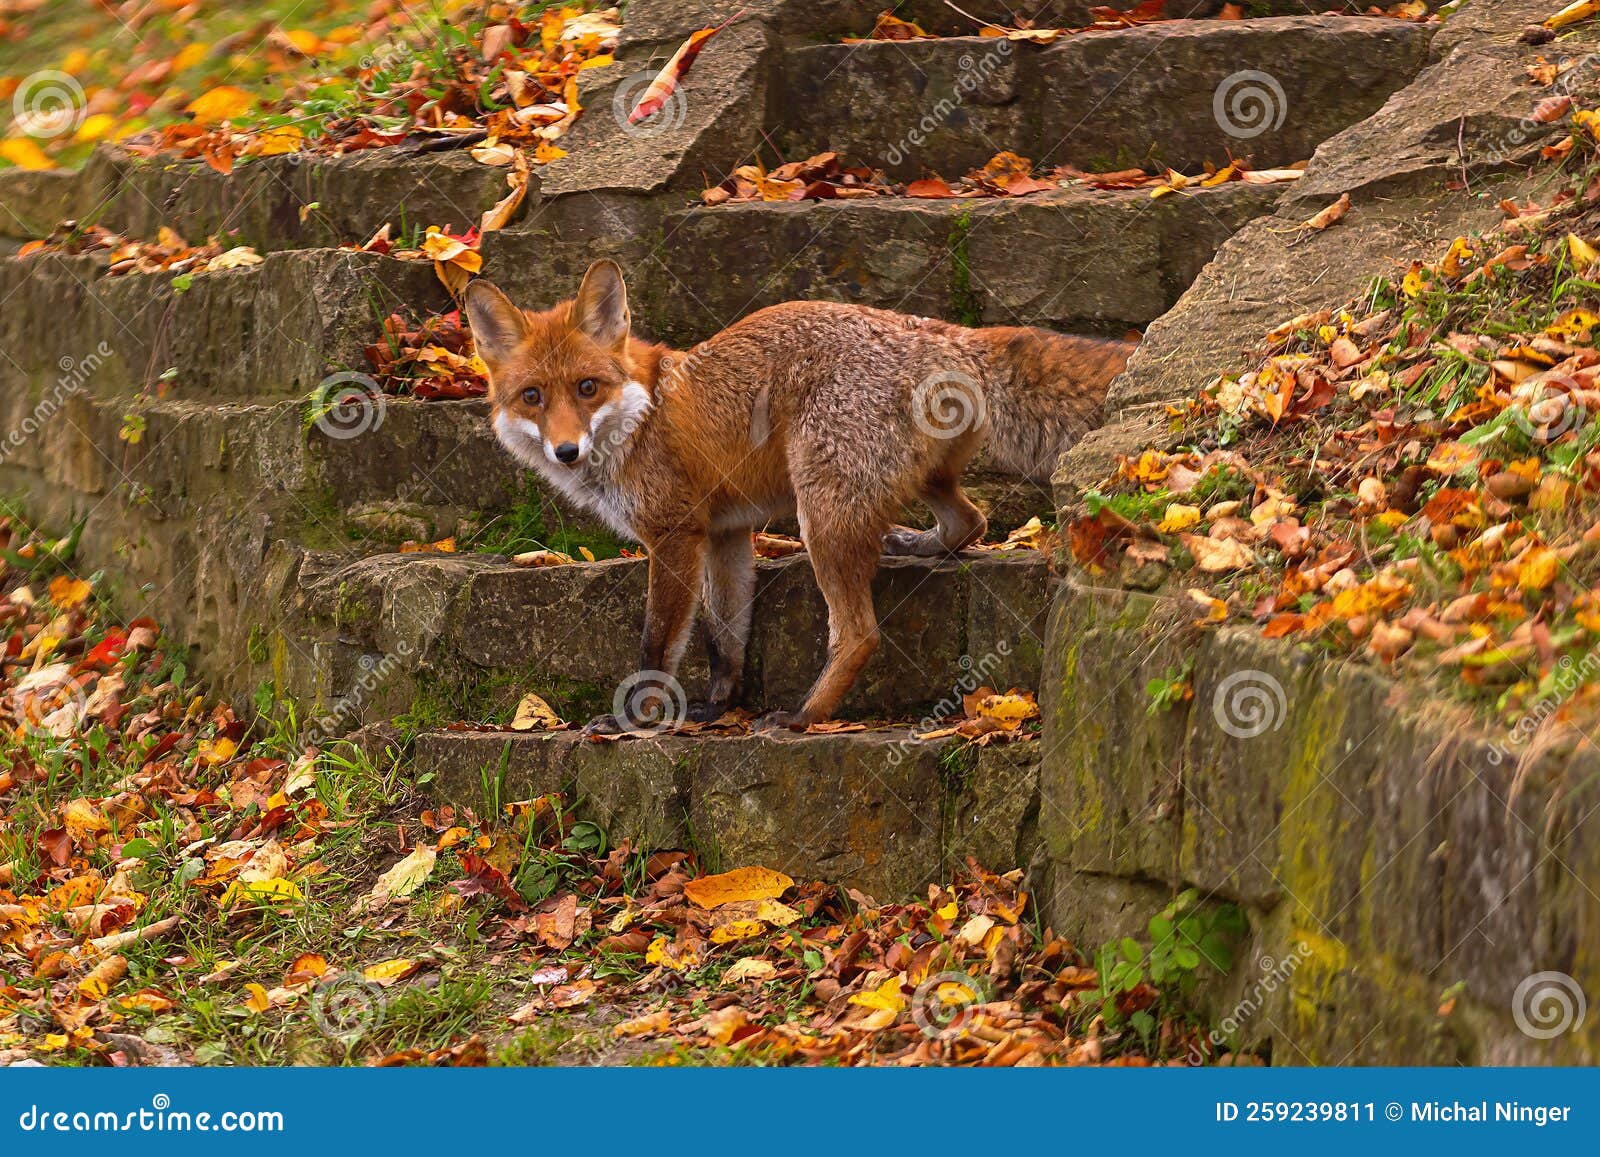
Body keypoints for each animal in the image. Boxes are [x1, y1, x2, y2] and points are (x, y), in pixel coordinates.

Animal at [464, 259, 1133, 733]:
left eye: (586, 387)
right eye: (532, 397)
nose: (565, 451)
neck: (643, 414)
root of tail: (938, 332)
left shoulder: (675, 534)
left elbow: (658, 642)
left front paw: (637, 716)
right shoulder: (726, 534)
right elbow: (725, 638)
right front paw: (716, 706)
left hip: (822, 515)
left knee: (860, 634)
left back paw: (808, 715)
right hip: (916, 482)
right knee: (972, 521)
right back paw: (917, 545)